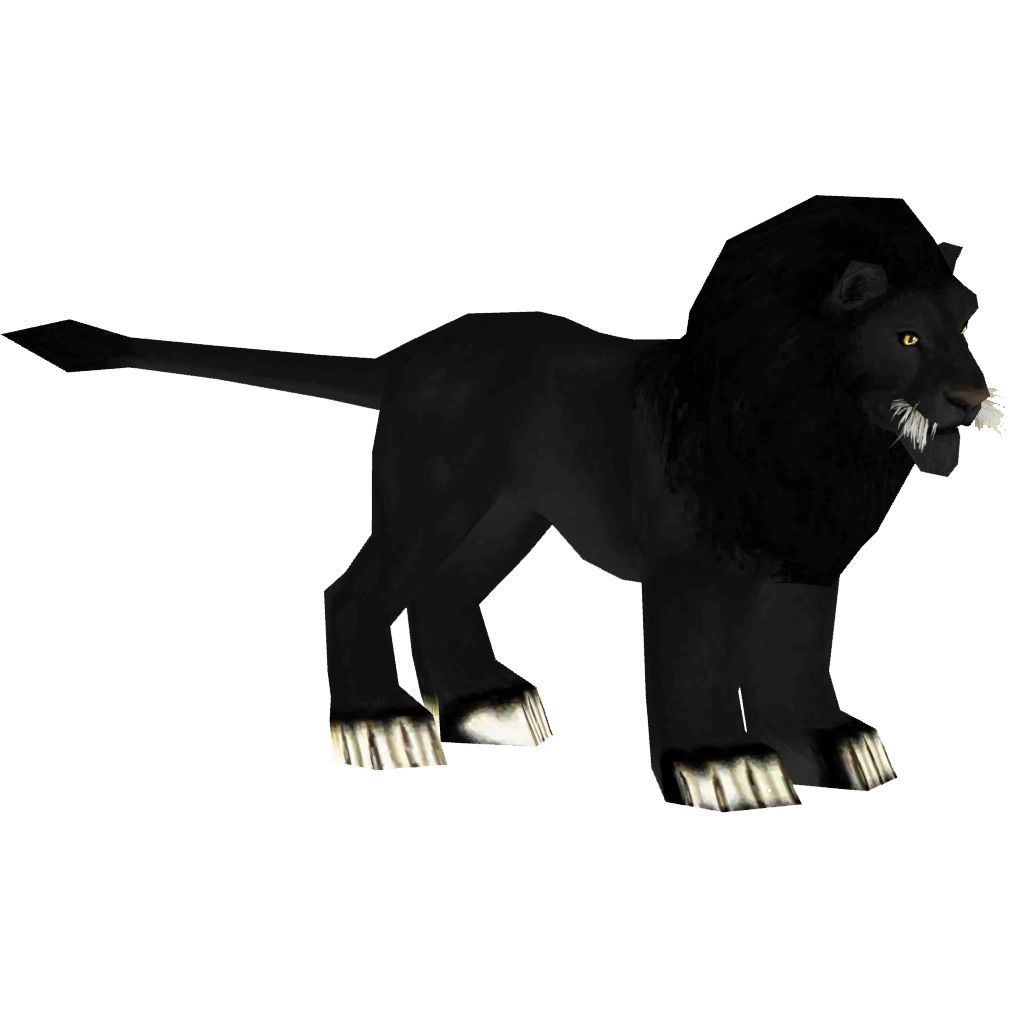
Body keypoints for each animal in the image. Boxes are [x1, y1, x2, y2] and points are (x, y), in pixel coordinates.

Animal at [4, 193, 1004, 813]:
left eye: (964, 327)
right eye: (906, 336)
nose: (972, 396)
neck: (821, 431)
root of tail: (407, 356)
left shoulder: (798, 565)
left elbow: (796, 661)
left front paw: (838, 747)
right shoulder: (691, 570)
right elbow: (691, 666)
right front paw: (721, 770)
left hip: (505, 519)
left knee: (444, 595)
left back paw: (487, 704)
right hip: (433, 499)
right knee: (356, 588)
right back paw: (378, 726)